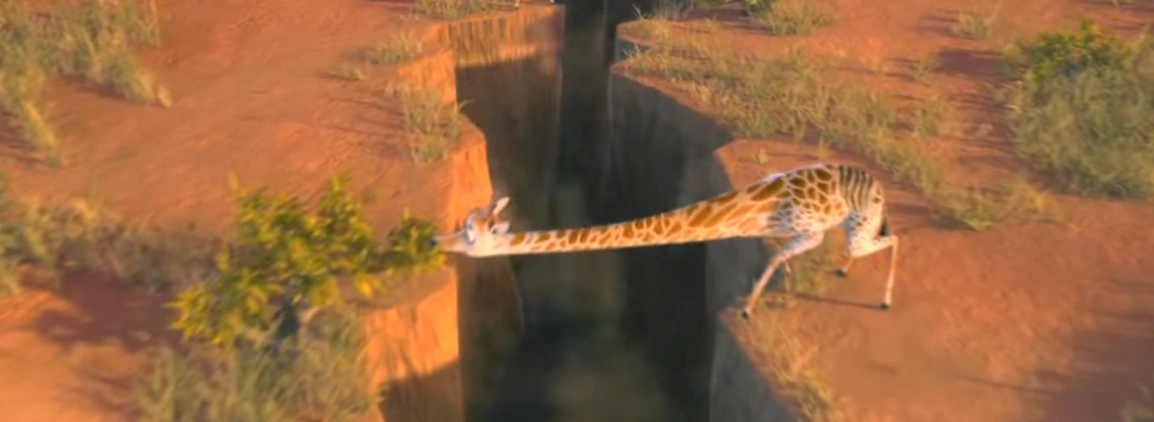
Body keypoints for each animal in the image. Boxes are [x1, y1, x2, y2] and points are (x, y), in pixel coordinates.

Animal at [431, 162, 900, 319]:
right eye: (464, 223)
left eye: (471, 236)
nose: (437, 239)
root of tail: (877, 184)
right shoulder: (794, 233)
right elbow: (775, 260)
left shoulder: (807, 230)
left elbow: (769, 263)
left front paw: (747, 309)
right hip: (854, 228)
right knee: (869, 245)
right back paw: (844, 269)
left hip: (861, 227)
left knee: (894, 239)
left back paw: (884, 299)